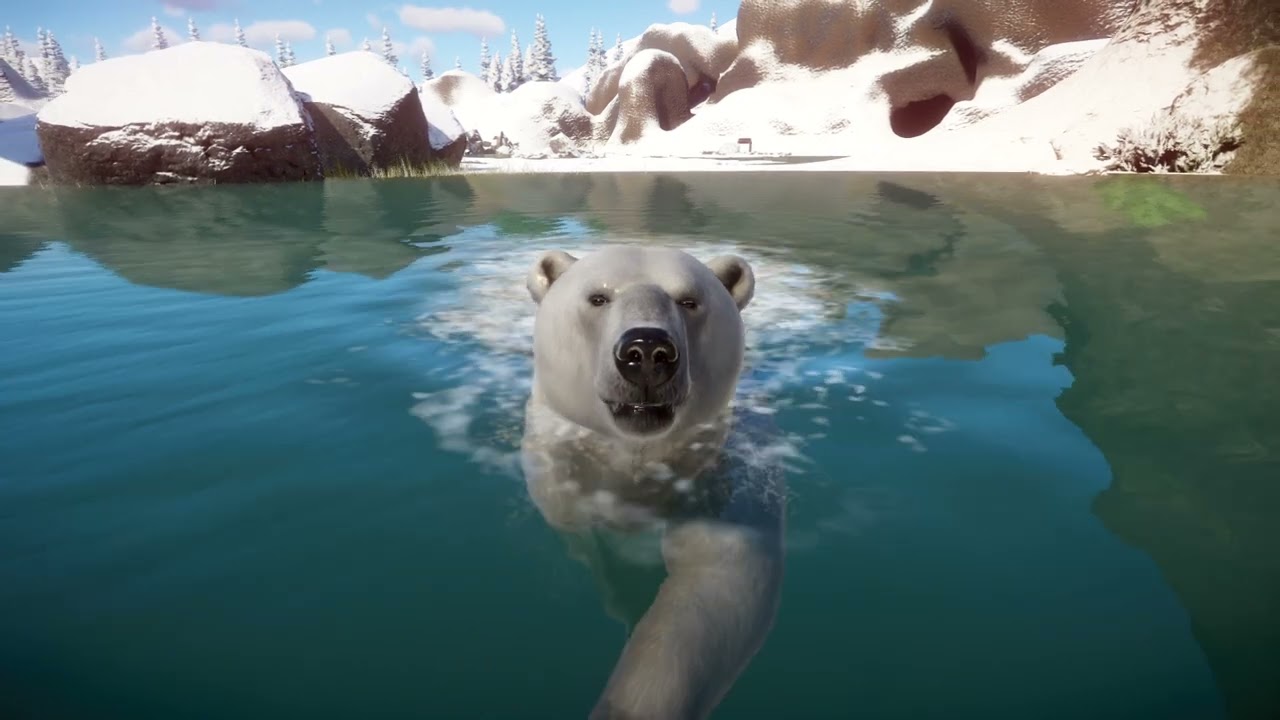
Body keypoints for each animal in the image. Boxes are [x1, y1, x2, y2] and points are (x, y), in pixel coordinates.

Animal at [521, 244, 786, 720]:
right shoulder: (557, 464)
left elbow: (719, 577)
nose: (646, 351)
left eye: (689, 300)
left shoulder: (730, 474)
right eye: (598, 297)